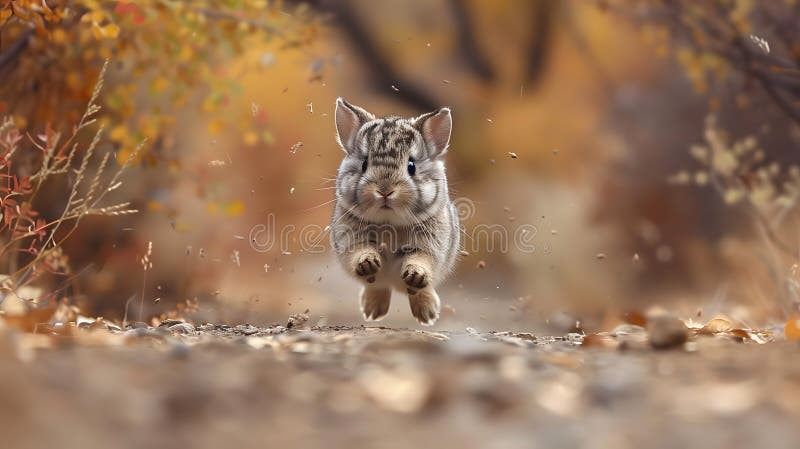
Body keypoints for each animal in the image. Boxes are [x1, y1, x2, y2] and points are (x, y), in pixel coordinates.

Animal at [329, 98, 461, 325]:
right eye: (364, 164)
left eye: (411, 166)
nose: (385, 190)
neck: (389, 221)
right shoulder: (349, 237)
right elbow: (360, 251)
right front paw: (368, 263)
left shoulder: (430, 244)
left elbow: (421, 260)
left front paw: (415, 275)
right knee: (378, 286)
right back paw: (373, 312)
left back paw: (427, 314)